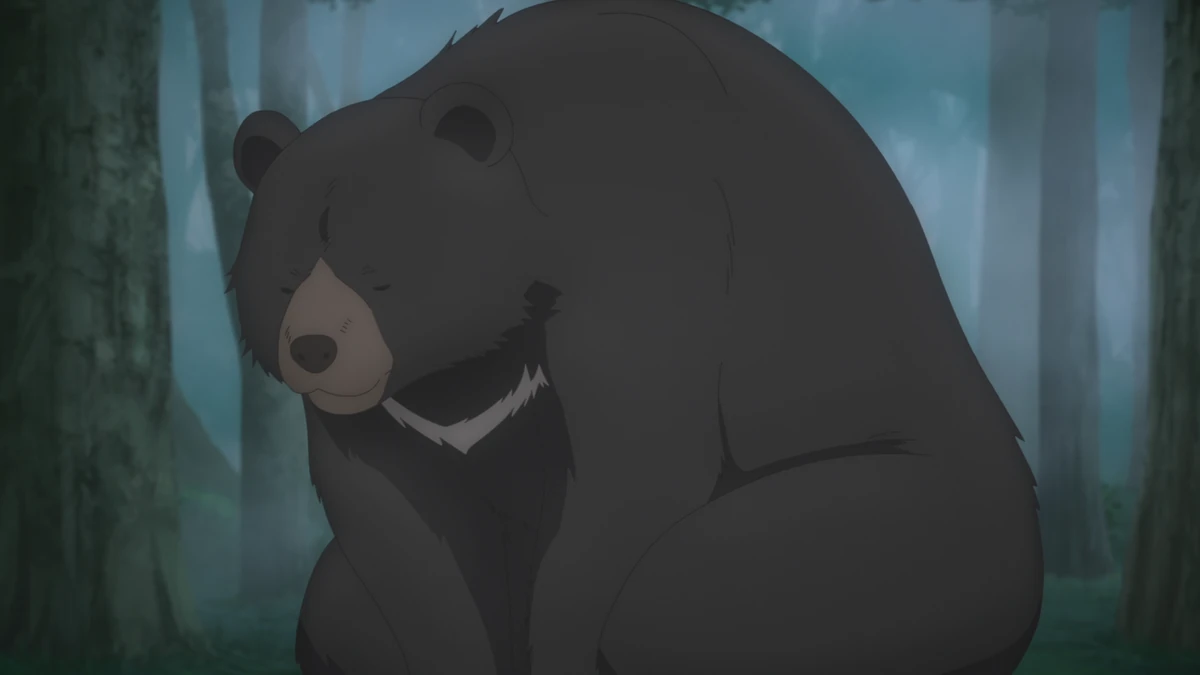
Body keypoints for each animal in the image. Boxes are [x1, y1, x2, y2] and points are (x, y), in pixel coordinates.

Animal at [227, 1, 1044, 674]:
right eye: (285, 275)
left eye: (382, 272)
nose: (314, 350)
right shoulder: (396, 410)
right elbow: (387, 512)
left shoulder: (653, 258)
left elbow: (628, 479)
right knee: (333, 594)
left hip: (903, 520)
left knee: (678, 588)